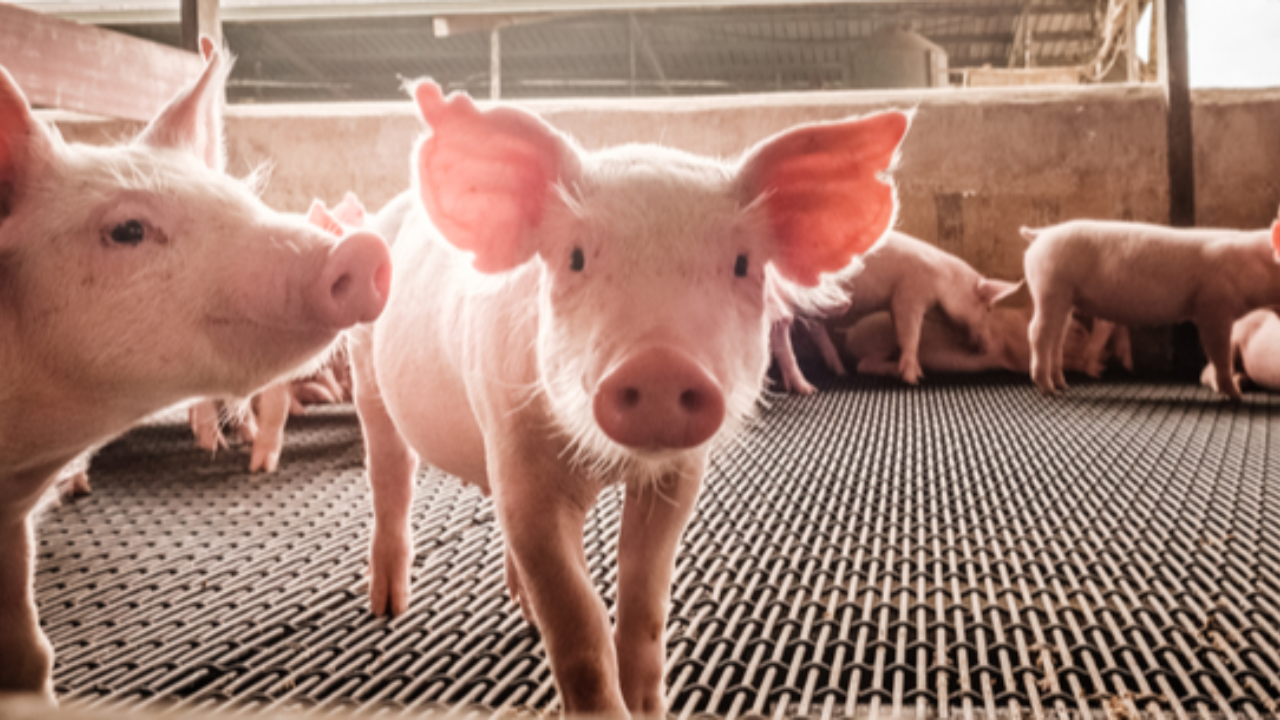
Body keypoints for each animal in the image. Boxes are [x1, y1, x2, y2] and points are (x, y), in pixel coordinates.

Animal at [351, 81, 909, 715]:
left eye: (743, 264)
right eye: (574, 256)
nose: (660, 364)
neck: (609, 466)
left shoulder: (678, 475)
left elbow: (644, 595)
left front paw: (647, 705)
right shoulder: (518, 454)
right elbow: (577, 618)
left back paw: (519, 610)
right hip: (365, 366)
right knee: (390, 471)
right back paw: (388, 606)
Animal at [1024, 219, 1280, 398]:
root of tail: (1041, 234)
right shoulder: (1212, 305)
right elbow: (1220, 353)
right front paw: (1237, 396)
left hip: (1065, 297)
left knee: (1057, 337)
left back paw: (1062, 385)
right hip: (1051, 286)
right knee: (1037, 331)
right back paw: (1048, 390)